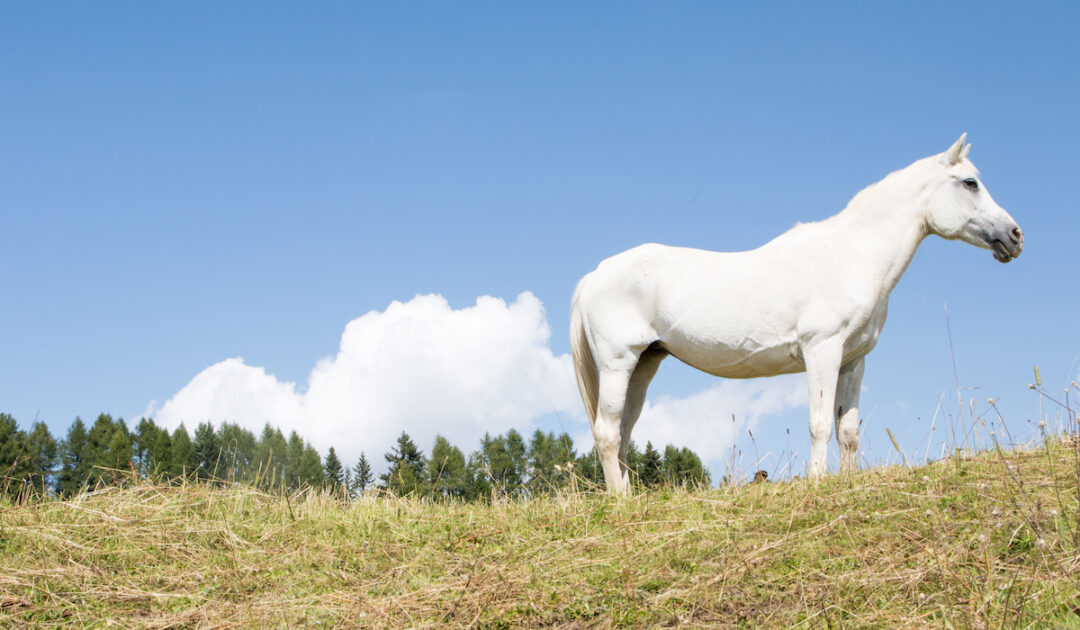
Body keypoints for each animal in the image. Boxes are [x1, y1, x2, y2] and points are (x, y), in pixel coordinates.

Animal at [570, 135, 1023, 493]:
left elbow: (847, 430)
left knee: (623, 431)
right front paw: (819, 481)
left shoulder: (854, 360)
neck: (853, 255)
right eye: (970, 183)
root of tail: (594, 276)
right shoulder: (821, 350)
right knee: (608, 432)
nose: (1015, 236)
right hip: (617, 363)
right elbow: (819, 423)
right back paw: (620, 502)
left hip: (645, 364)